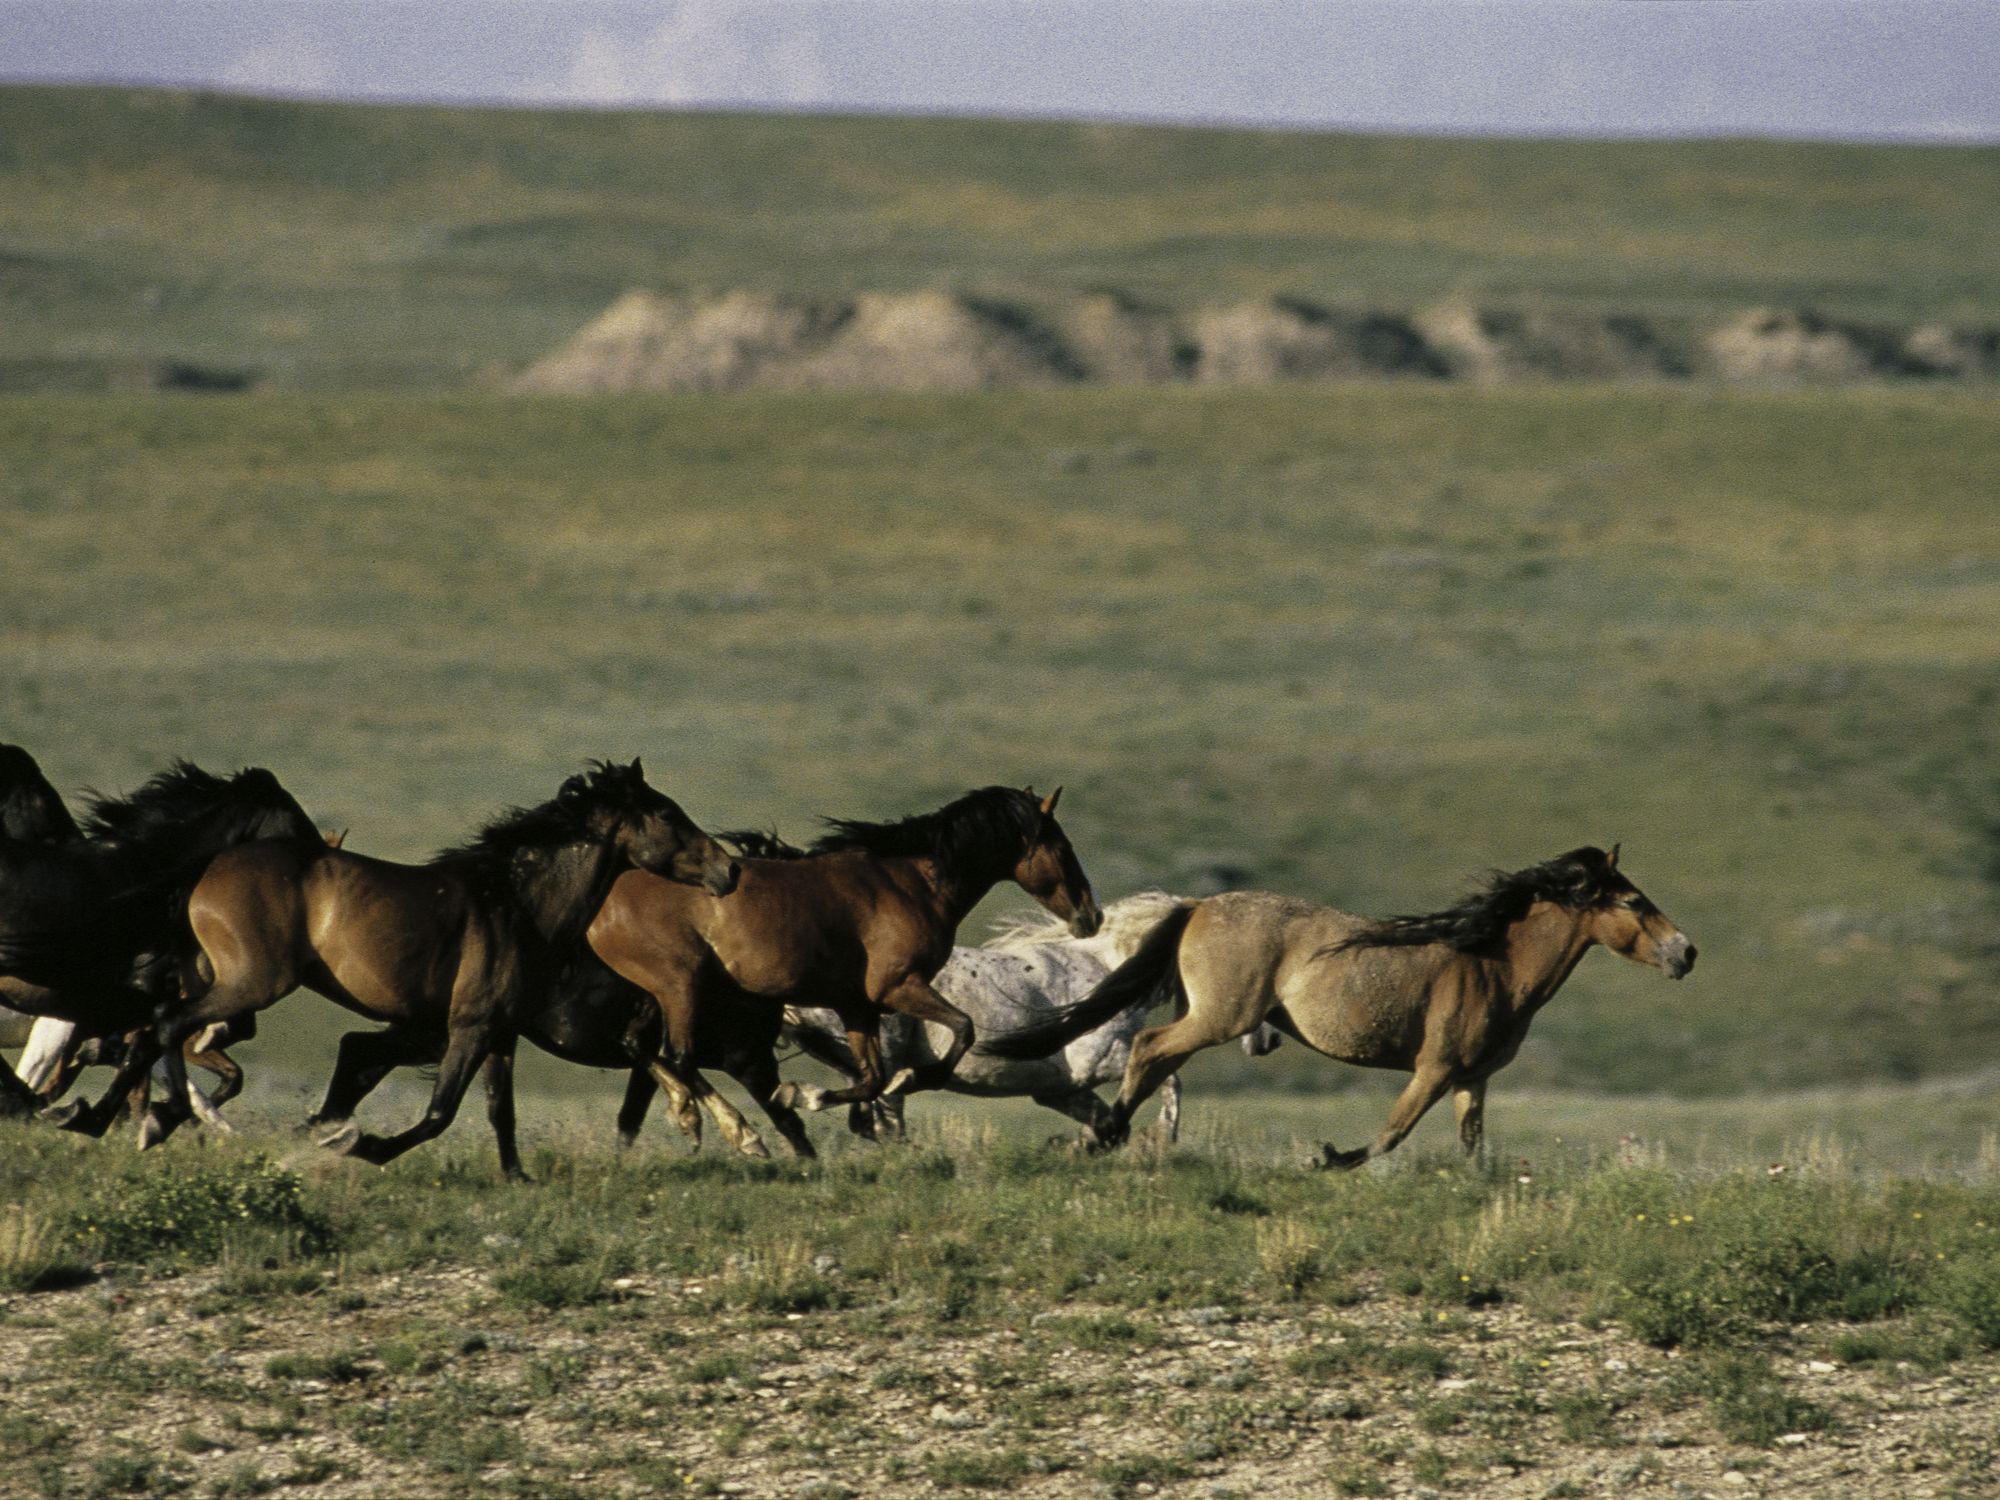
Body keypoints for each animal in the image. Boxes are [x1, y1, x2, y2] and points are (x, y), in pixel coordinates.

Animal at [163, 758, 738, 1170]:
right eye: (666, 814)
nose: (728, 870)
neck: (519, 904)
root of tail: (209, 872)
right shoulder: (471, 1025)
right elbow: (440, 1112)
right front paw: (360, 1146)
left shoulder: (500, 1031)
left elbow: (500, 1111)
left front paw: (517, 1178)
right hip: (254, 984)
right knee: (169, 1024)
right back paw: (168, 1118)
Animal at [584, 785, 1102, 1156]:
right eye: (1062, 848)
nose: (1089, 917)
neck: (911, 884)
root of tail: (603, 905)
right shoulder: (899, 987)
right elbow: (962, 1029)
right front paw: (907, 1080)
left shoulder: (858, 1006)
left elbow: (871, 1078)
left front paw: (803, 1095)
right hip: (681, 988)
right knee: (678, 1057)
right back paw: (735, 1133)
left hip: (660, 996)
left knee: (642, 1048)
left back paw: (695, 1117)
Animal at [979, 845, 1695, 1167]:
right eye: (1633, 902)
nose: (1685, 953)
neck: (1494, 965)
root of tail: (1198, 906)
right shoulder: (1434, 1069)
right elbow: (1391, 1133)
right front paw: (1327, 1157)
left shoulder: (1472, 1079)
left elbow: (1472, 1147)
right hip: (1221, 1017)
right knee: (1152, 1050)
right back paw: (1102, 1134)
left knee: (1155, 1060)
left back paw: (1103, 1135)